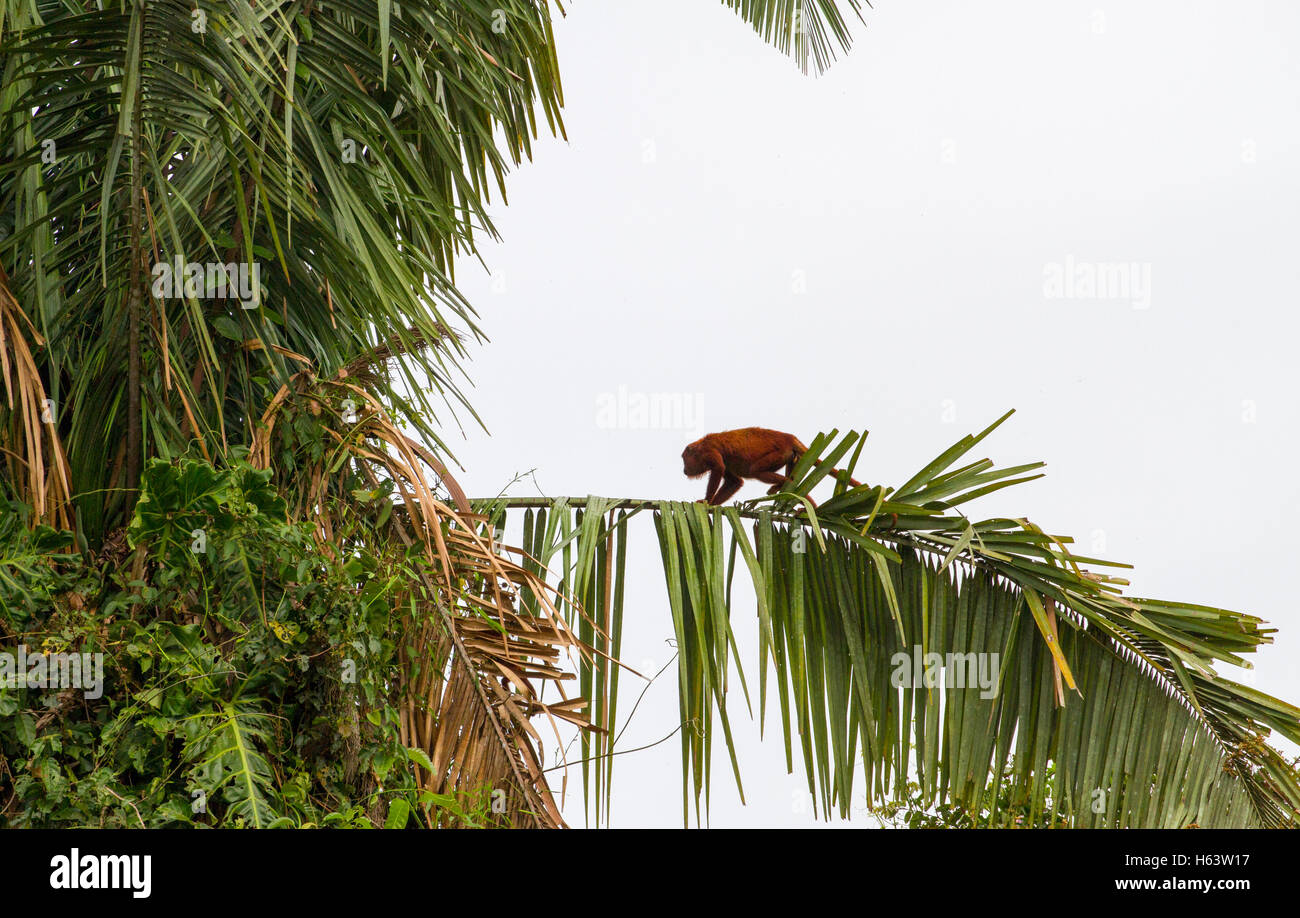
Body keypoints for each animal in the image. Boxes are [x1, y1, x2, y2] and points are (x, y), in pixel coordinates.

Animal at [681, 428, 862, 506]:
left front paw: (706, 501)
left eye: (684, 459)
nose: (683, 470)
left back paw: (786, 485)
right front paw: (712, 504)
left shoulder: (709, 452)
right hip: (790, 456)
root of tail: (788, 438)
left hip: (779, 452)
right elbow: (735, 482)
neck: (699, 447)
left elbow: (718, 468)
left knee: (756, 470)